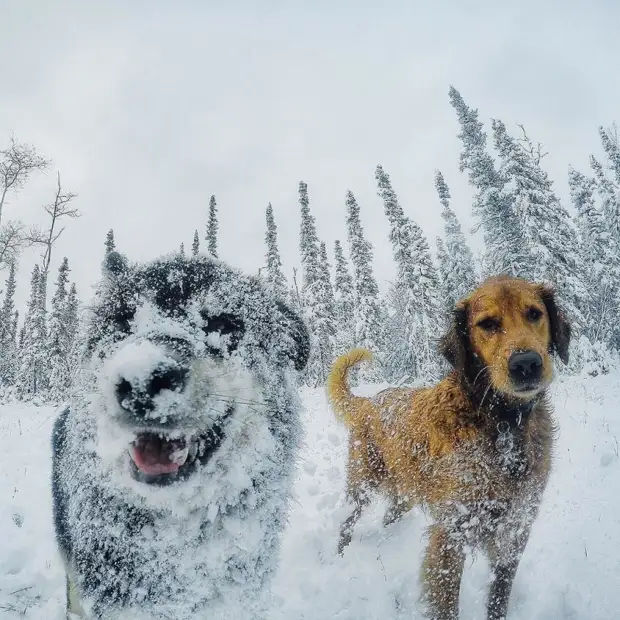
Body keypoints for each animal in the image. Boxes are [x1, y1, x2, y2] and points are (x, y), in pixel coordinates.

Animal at [330, 276, 572, 620]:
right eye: (487, 324)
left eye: (535, 314)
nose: (526, 364)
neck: (501, 423)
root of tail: (369, 400)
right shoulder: (451, 535)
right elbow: (446, 605)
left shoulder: (515, 531)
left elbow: (498, 600)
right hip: (361, 484)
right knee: (346, 523)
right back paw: (340, 555)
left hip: (404, 493)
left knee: (389, 516)